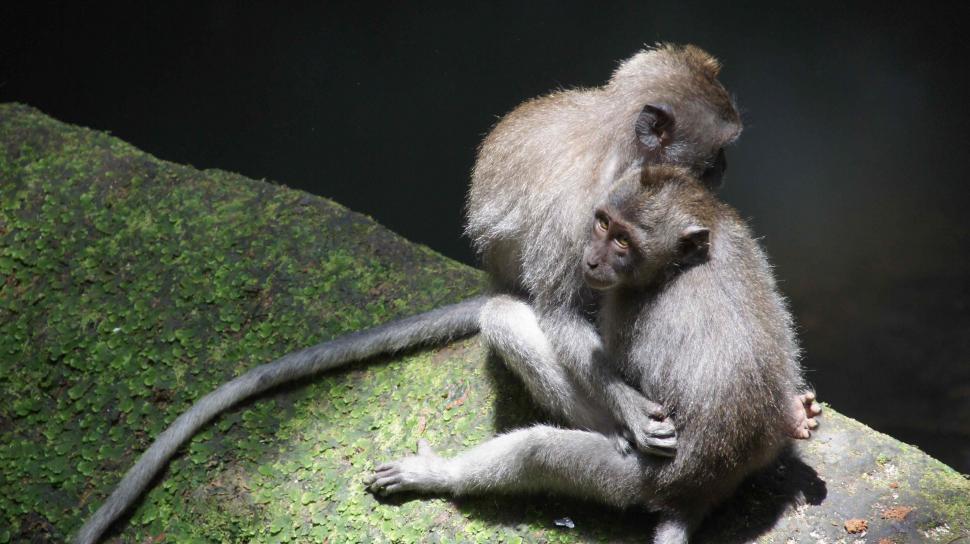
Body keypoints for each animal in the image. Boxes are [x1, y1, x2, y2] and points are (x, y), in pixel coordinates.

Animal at [366, 164, 810, 544]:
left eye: (624, 241)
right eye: (602, 223)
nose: (592, 260)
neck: (684, 262)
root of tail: (699, 491)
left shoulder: (627, 301)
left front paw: (628, 412)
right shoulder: (736, 229)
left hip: (641, 477)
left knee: (537, 448)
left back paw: (441, 474)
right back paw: (796, 418)